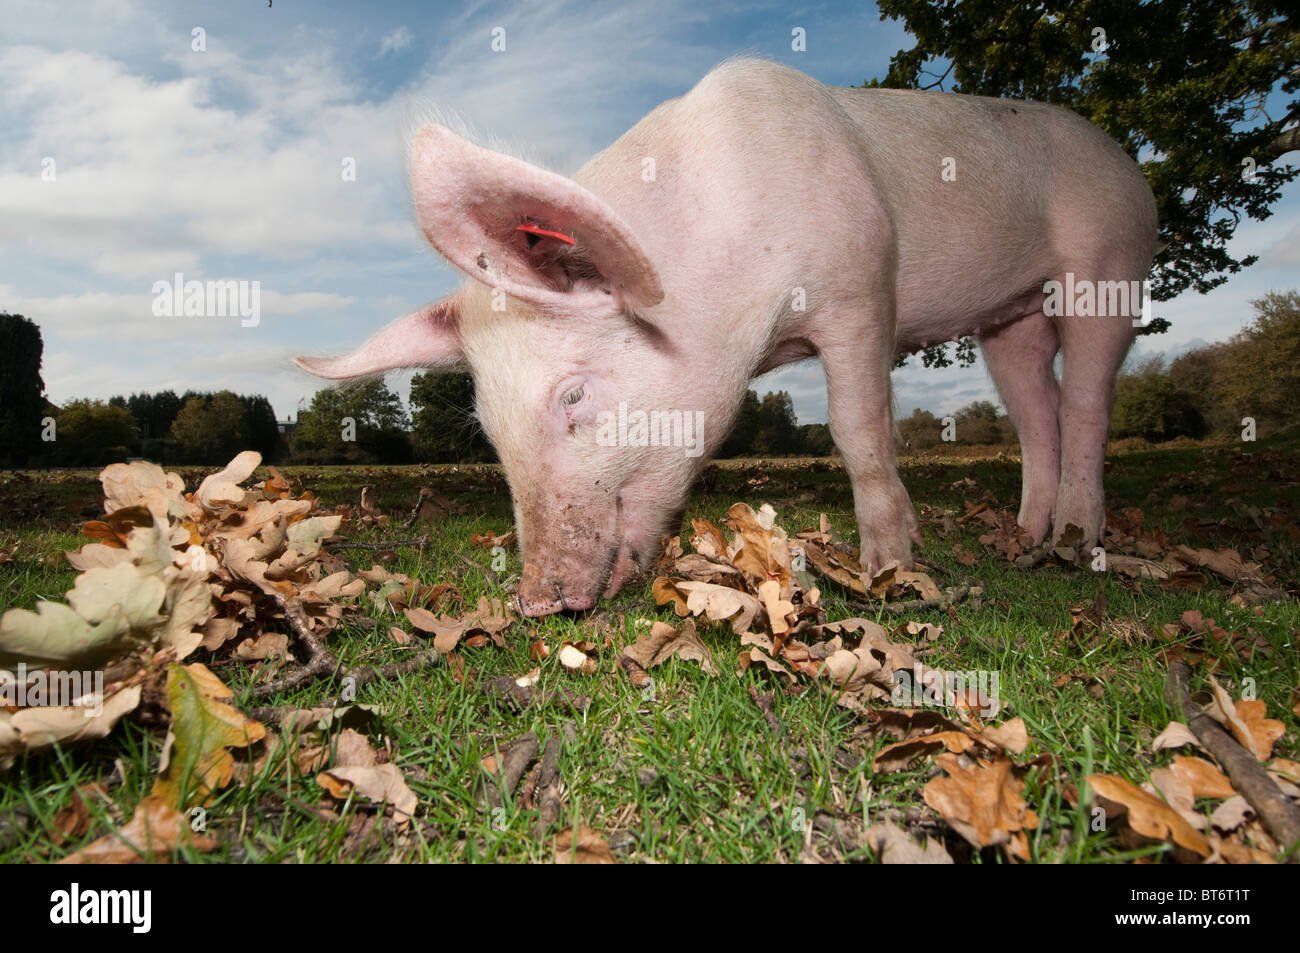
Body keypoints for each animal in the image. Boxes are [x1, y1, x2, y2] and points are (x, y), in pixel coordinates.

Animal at [296, 58, 1158, 616]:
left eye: (573, 395)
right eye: (486, 426)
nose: (538, 602)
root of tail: (1126, 157)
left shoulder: (859, 287)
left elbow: (860, 430)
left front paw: (888, 570)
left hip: (1111, 263)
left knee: (1085, 400)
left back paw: (1078, 544)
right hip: (1008, 318)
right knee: (1035, 407)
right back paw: (1026, 540)